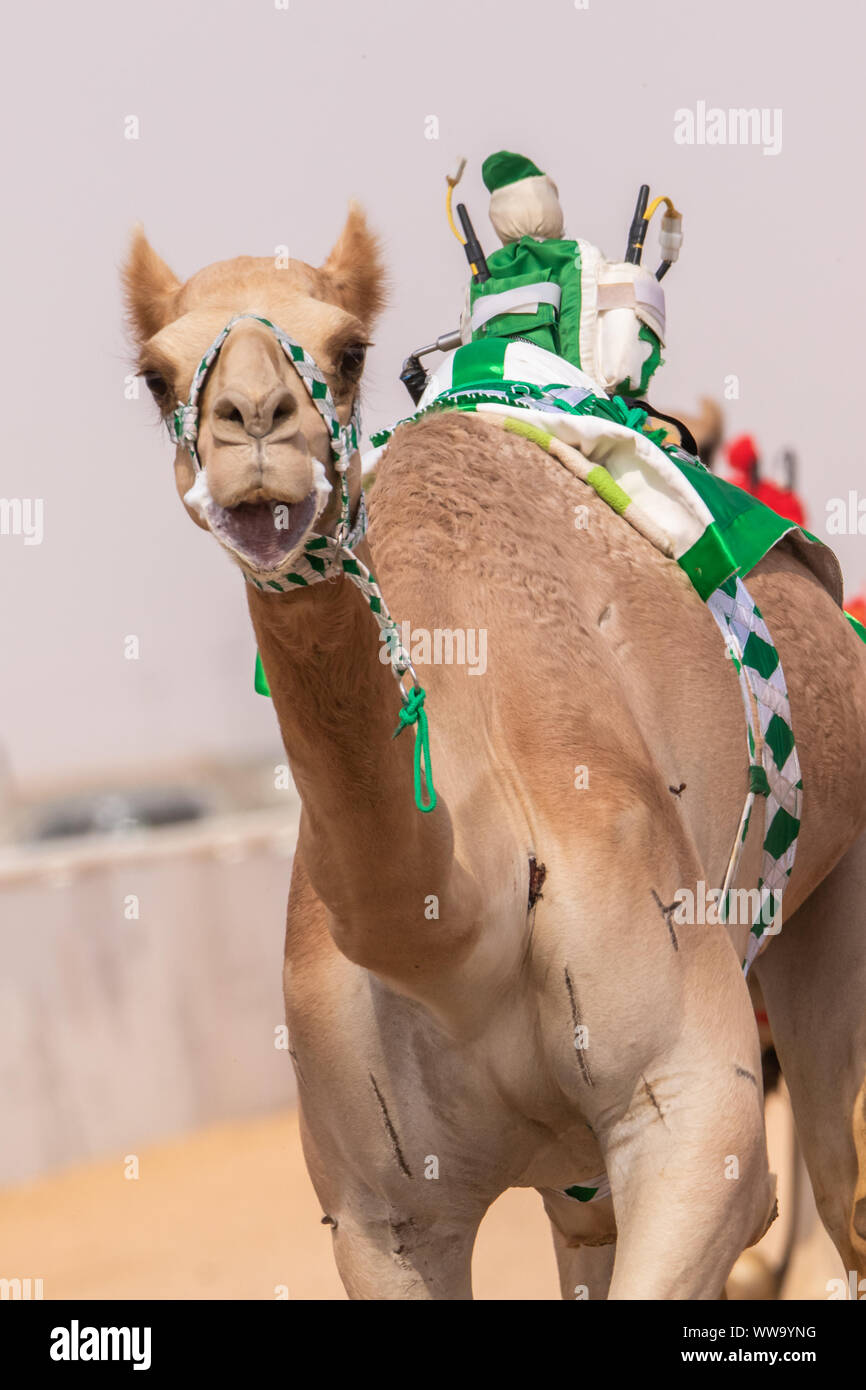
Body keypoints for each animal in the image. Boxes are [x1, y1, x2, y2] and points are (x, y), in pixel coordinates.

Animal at [123, 206, 866, 1300]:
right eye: (156, 373)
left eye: (349, 350)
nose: (254, 426)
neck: (464, 926)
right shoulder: (382, 1214)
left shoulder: (697, 1125)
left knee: (839, 1178)